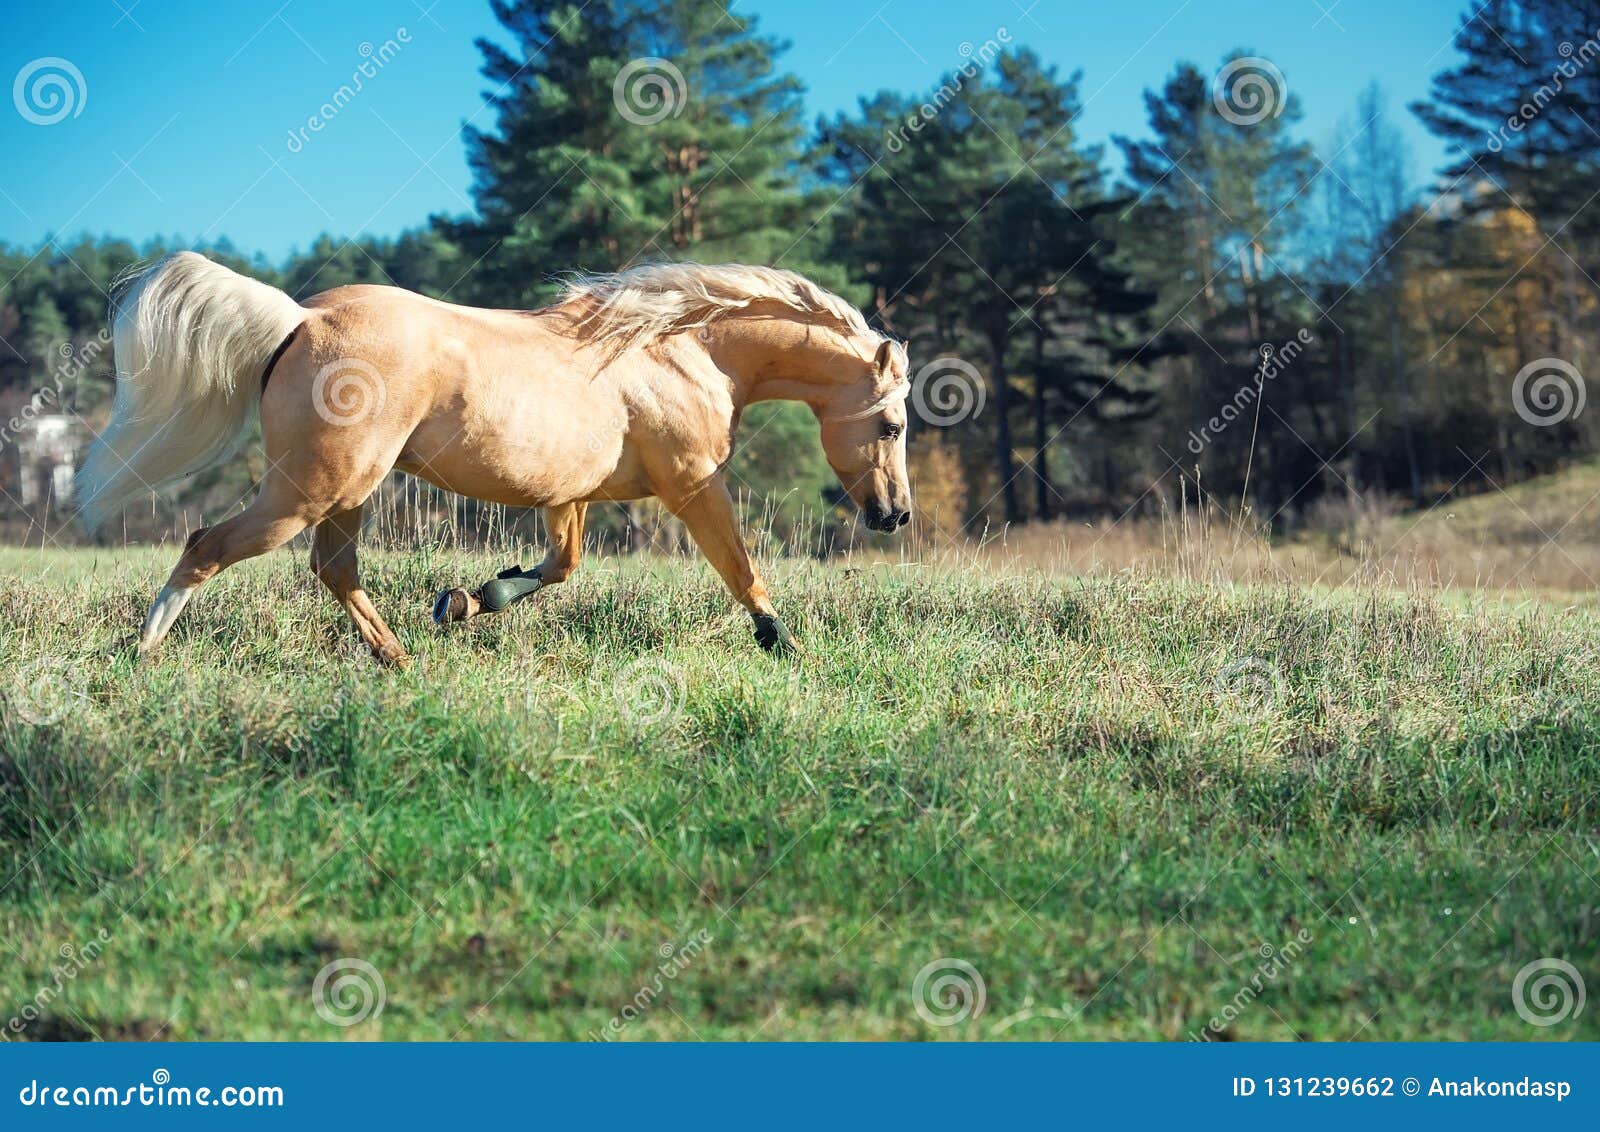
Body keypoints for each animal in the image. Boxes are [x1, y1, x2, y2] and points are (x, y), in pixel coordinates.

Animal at [76, 254, 914, 667]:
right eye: (893, 424)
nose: (896, 515)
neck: (679, 351)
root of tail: (300, 319)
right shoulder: (690, 485)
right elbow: (742, 571)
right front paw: (787, 647)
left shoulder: (568, 496)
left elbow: (559, 568)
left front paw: (464, 600)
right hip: (308, 492)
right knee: (207, 546)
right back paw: (141, 654)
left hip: (346, 491)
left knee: (334, 570)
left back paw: (399, 657)